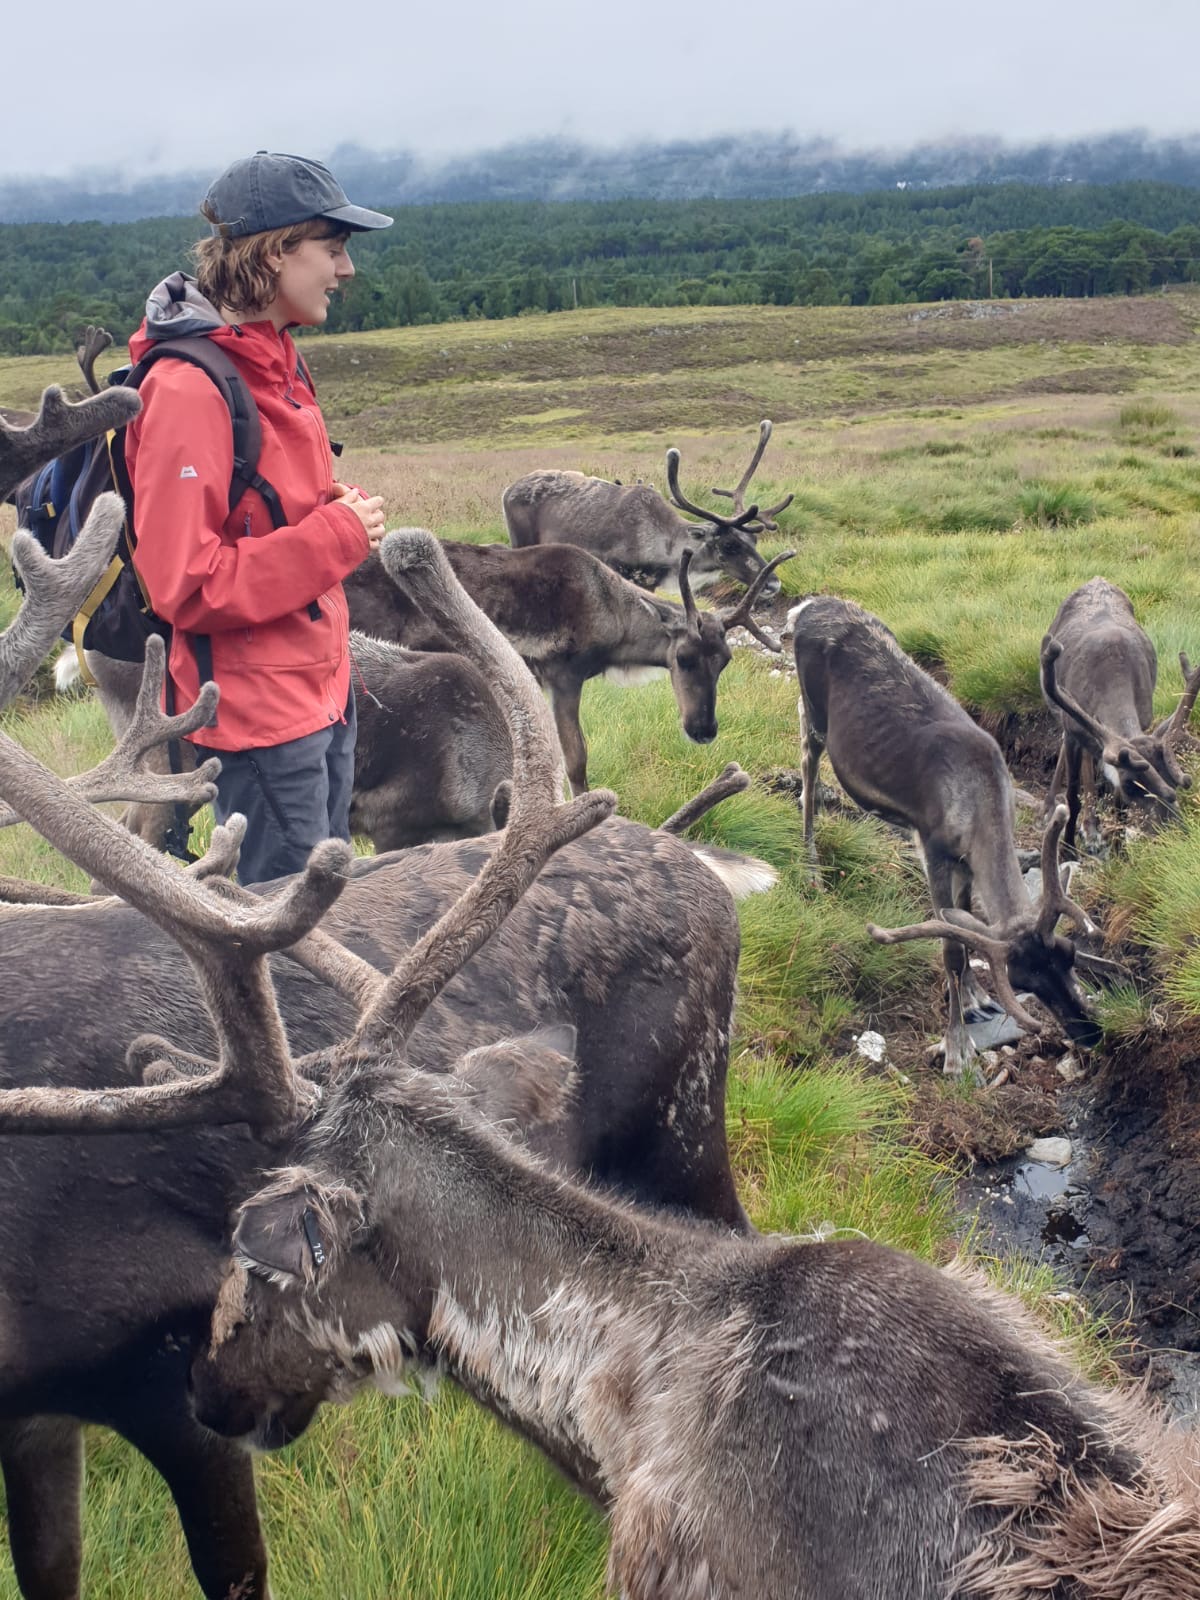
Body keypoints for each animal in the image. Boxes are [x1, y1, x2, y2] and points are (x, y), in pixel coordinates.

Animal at [345, 539, 793, 795]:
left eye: (725, 661)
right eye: (683, 658)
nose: (703, 729)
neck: (611, 613)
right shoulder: (563, 677)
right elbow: (576, 759)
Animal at [789, 594, 1102, 1080]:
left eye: (1069, 952)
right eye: (1021, 979)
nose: (1090, 1033)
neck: (982, 800)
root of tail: (805, 605)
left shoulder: (964, 862)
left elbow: (968, 918)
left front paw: (976, 998)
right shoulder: (934, 850)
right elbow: (951, 947)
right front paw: (957, 1051)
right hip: (811, 712)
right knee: (807, 772)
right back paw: (811, 870)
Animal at [1040, 578, 1200, 854]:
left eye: (1175, 782)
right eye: (1132, 786)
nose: (1177, 833)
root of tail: (1097, 579)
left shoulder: (1143, 720)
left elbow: (1117, 802)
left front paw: (1118, 848)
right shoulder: (1072, 726)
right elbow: (1072, 794)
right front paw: (1068, 847)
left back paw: (1092, 826)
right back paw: (1057, 811)